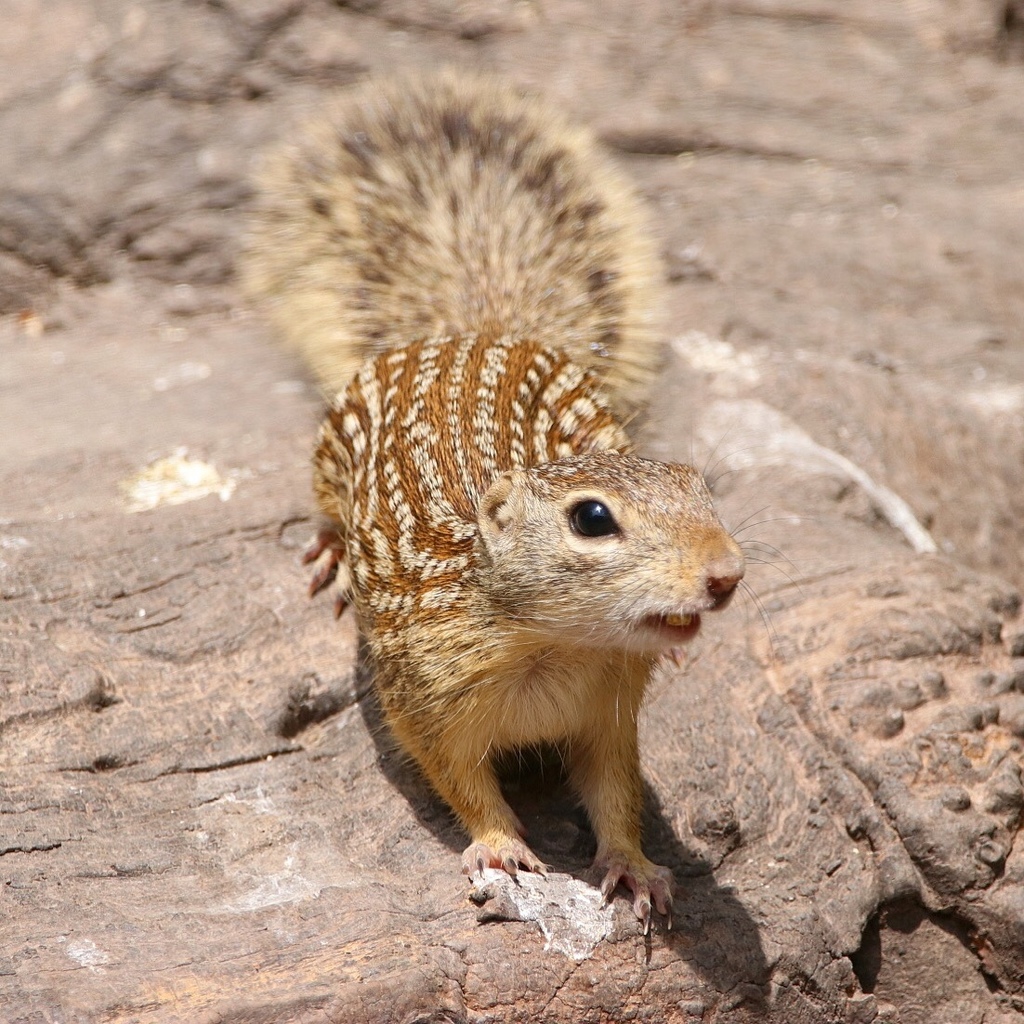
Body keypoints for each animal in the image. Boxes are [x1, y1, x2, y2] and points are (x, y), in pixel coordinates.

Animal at [243, 72, 745, 930]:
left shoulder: (610, 715)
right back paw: (332, 553)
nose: (727, 574)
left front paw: (636, 868)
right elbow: (460, 782)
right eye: (592, 518)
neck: (553, 643)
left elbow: (616, 793)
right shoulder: (426, 704)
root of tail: (473, 326)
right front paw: (502, 846)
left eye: (698, 485)